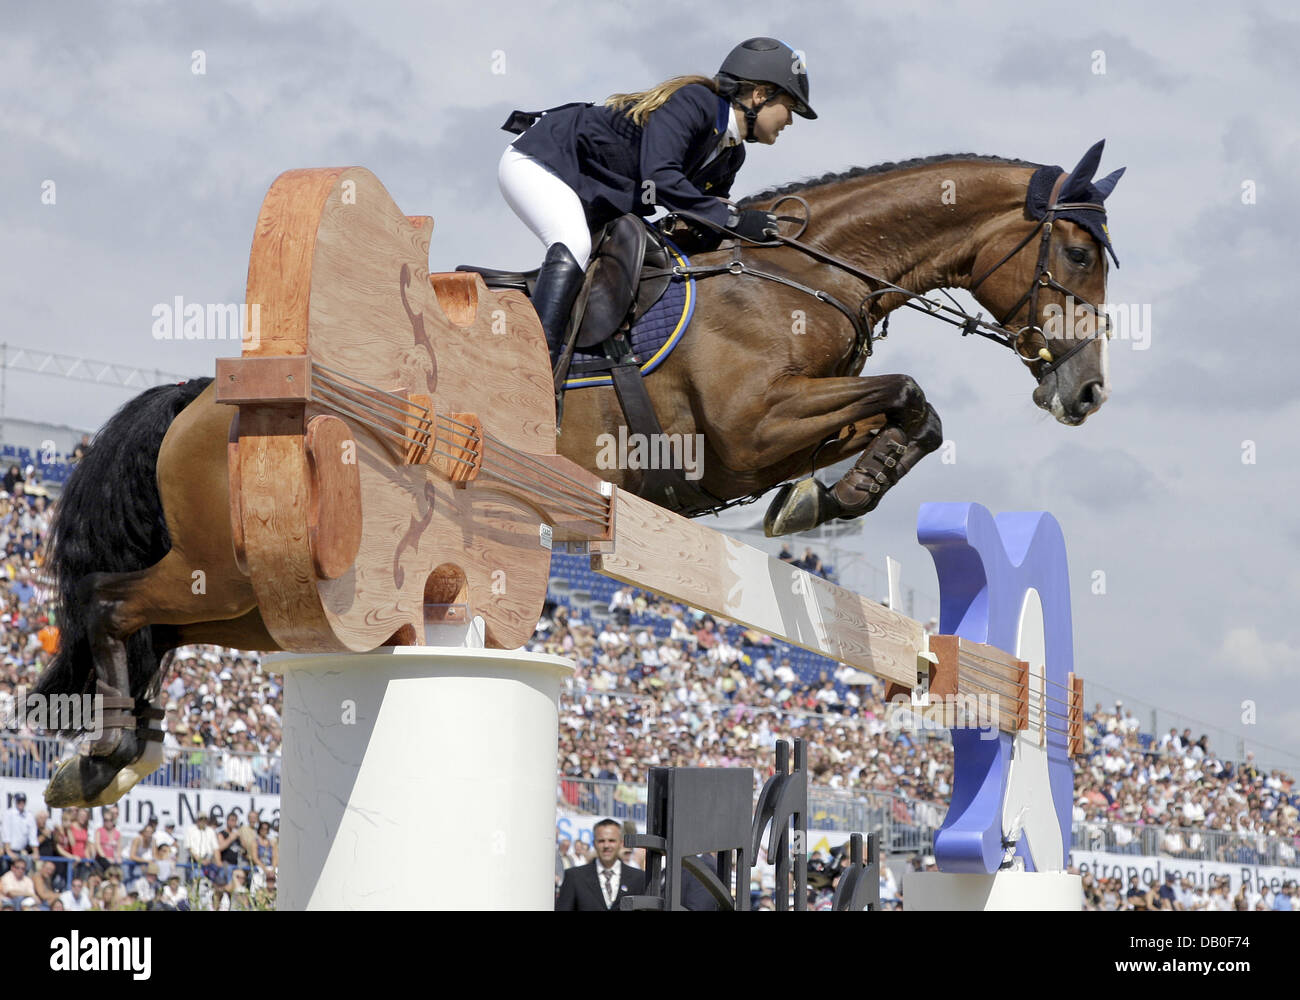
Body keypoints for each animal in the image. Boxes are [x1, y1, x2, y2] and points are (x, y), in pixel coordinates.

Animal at [28, 143, 1124, 809]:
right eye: (1076, 250)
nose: (1085, 391)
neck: (799, 274)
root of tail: (208, 395)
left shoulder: (781, 425)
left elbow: (910, 411)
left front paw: (829, 495)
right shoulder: (746, 428)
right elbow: (907, 394)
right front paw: (826, 497)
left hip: (256, 592)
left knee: (148, 621)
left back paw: (113, 750)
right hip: (238, 568)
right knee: (116, 603)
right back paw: (112, 751)